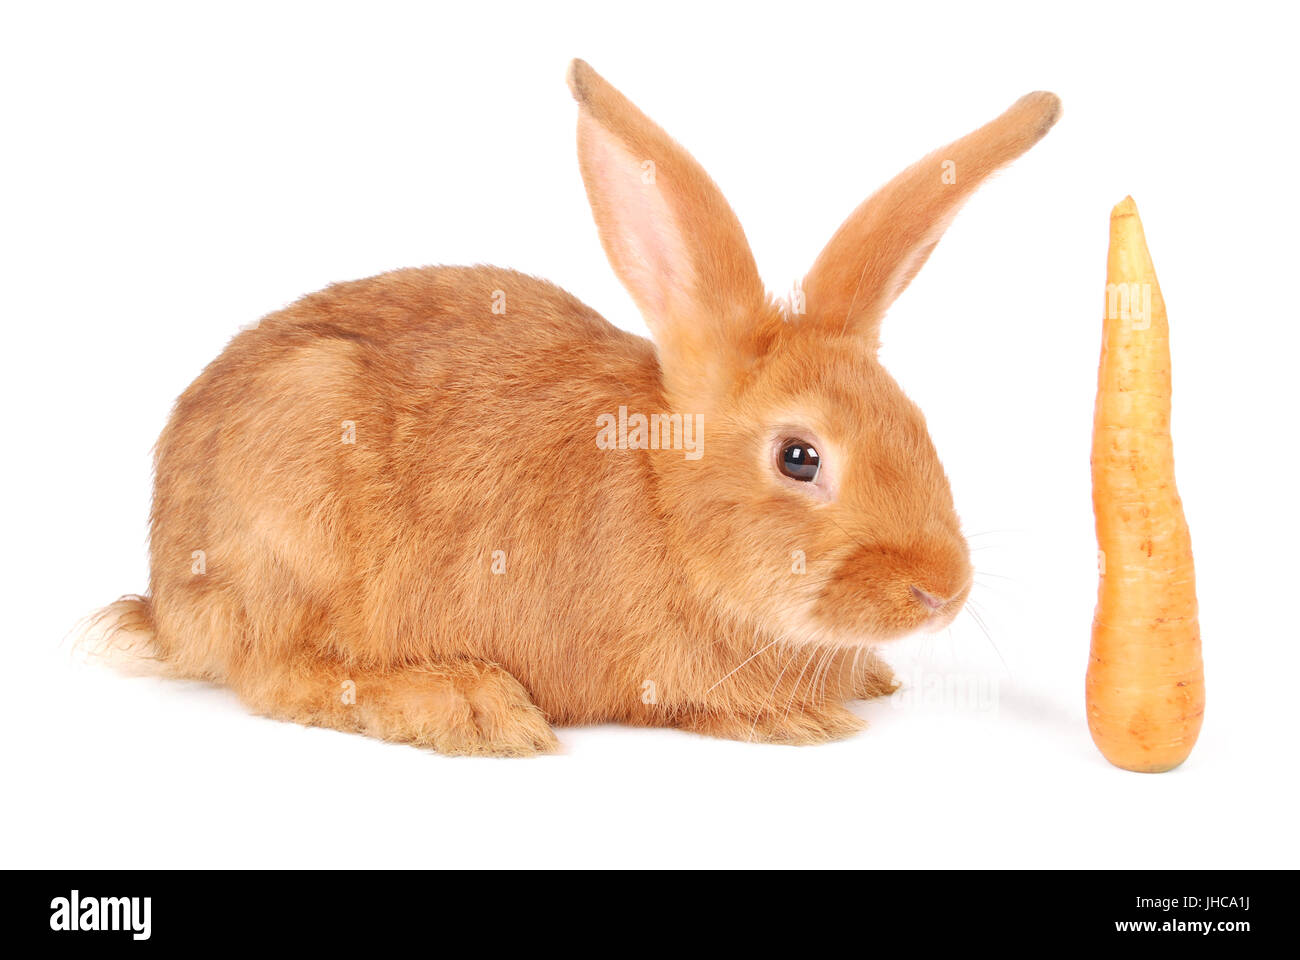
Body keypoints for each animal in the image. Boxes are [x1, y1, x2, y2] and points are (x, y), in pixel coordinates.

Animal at [98, 60, 1060, 755]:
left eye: (919, 423)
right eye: (800, 457)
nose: (941, 590)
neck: (669, 504)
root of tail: (167, 601)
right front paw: (800, 718)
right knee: (283, 673)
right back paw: (467, 705)